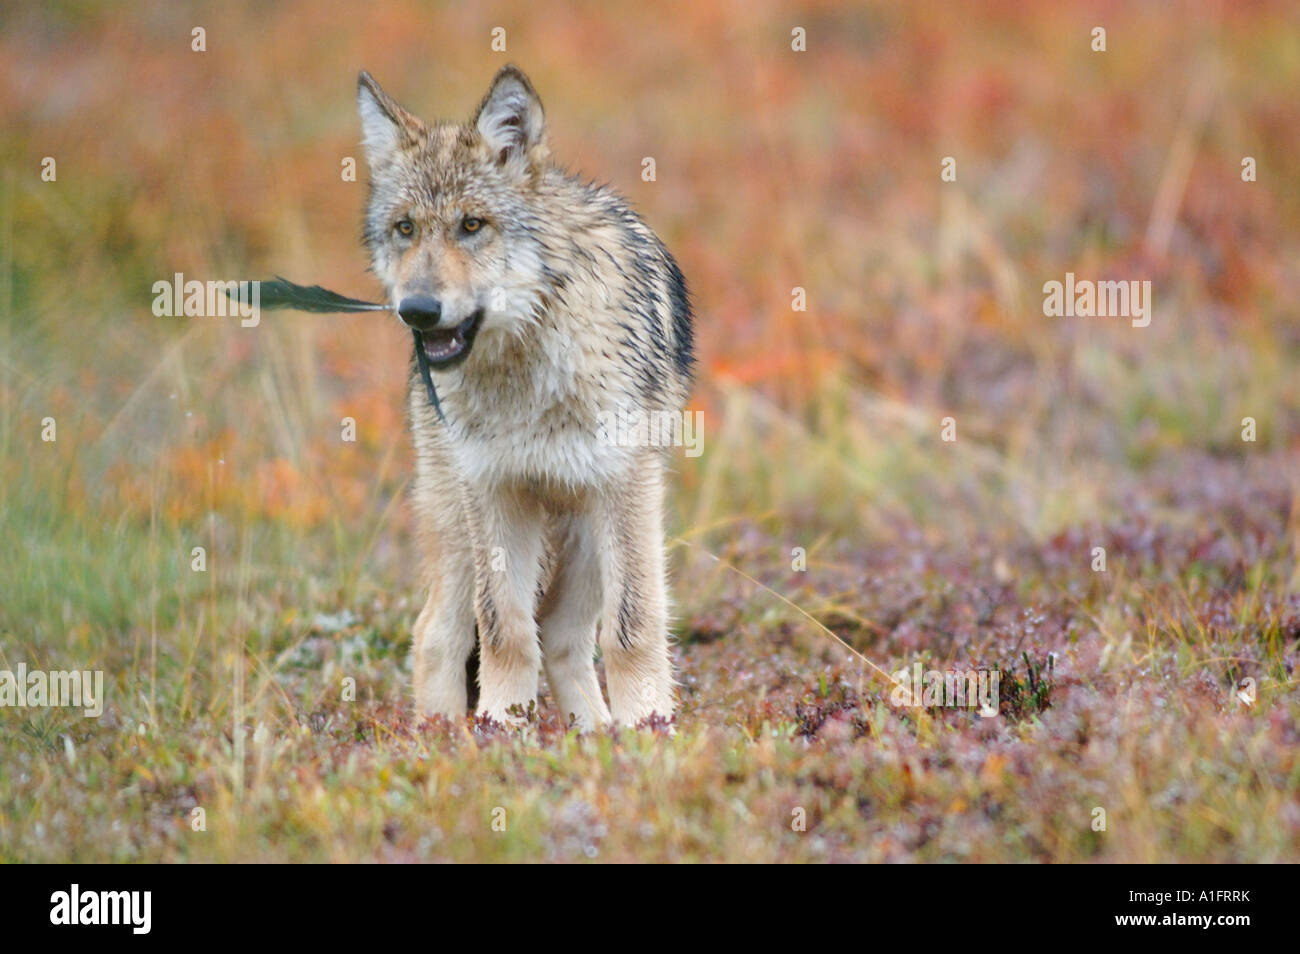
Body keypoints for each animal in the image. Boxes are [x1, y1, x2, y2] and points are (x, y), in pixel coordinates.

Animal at [356, 65, 693, 729]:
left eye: (472, 225)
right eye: (406, 229)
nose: (417, 310)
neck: (527, 369)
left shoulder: (626, 490)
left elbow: (632, 629)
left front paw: (649, 730)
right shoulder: (493, 494)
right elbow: (505, 630)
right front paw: (499, 728)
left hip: (585, 530)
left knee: (564, 637)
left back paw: (596, 734)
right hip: (459, 521)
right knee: (437, 633)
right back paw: (437, 736)